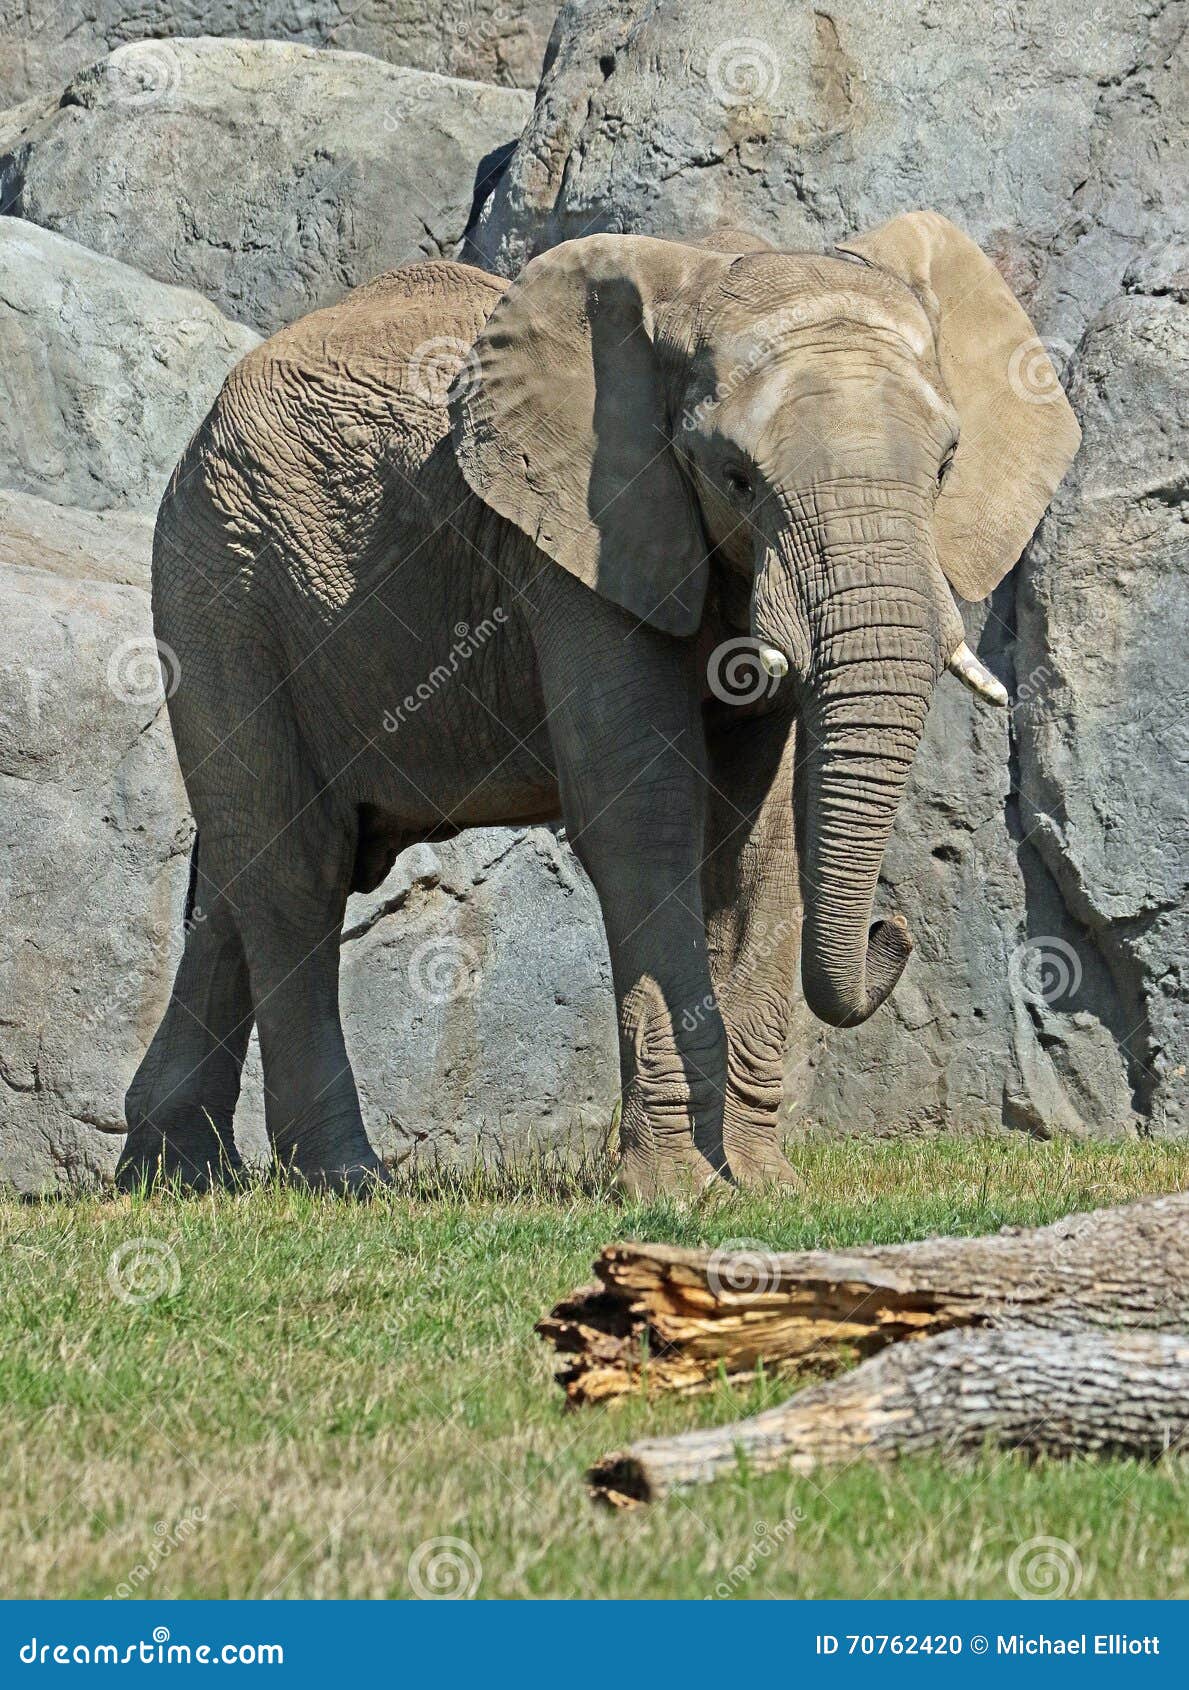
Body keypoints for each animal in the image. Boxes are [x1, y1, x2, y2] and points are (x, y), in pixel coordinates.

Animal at [119, 210, 1080, 1199]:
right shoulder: (578, 543)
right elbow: (642, 811)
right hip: (222, 586)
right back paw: (347, 1181)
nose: (896, 930)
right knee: (292, 869)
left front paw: (760, 1185)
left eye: (947, 465)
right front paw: (678, 1194)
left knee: (241, 872)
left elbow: (761, 834)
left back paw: (173, 1176)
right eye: (733, 476)